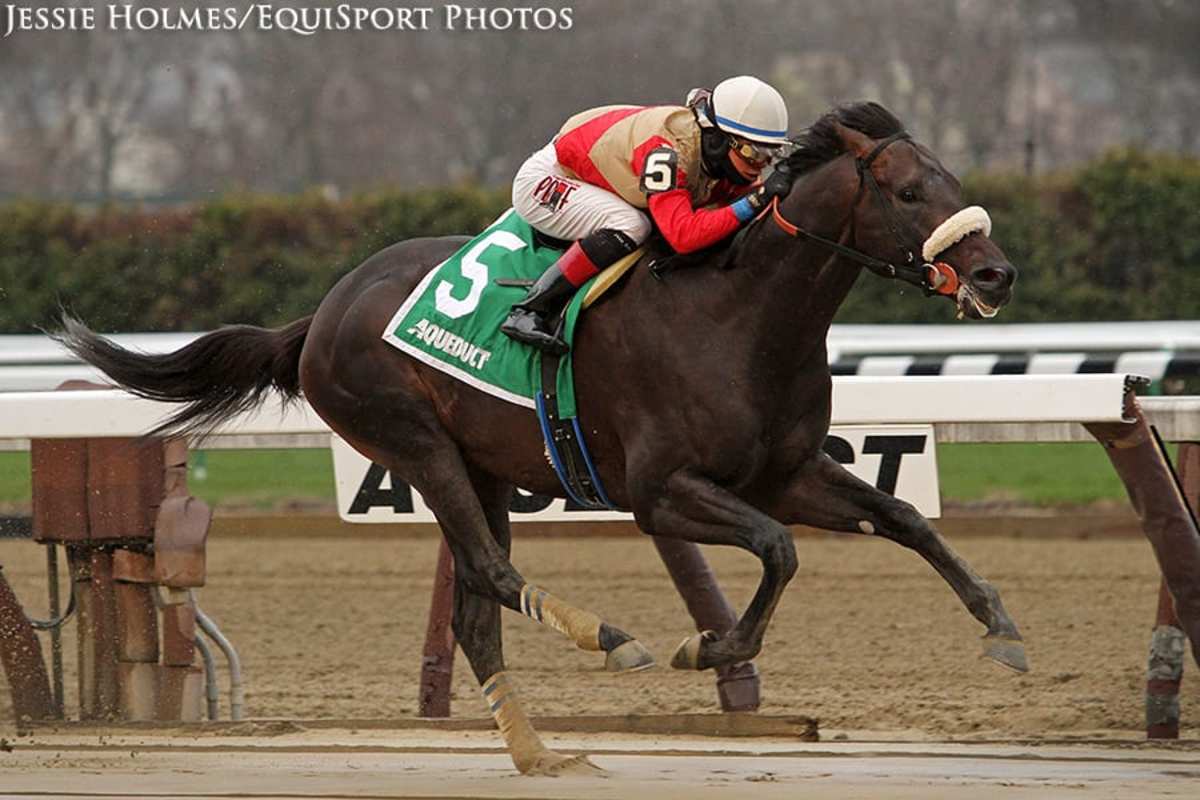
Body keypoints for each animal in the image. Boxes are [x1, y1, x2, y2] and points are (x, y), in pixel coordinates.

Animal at [58, 102, 1023, 775]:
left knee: (475, 613)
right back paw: (611, 638)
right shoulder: (661, 492)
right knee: (490, 572)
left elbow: (903, 521)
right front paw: (706, 645)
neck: (739, 314)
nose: (994, 273)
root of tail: (322, 314)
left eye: (949, 179)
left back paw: (537, 753)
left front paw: (1002, 625)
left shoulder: (784, 472)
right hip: (414, 444)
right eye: (909, 192)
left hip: (480, 467)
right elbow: (778, 551)